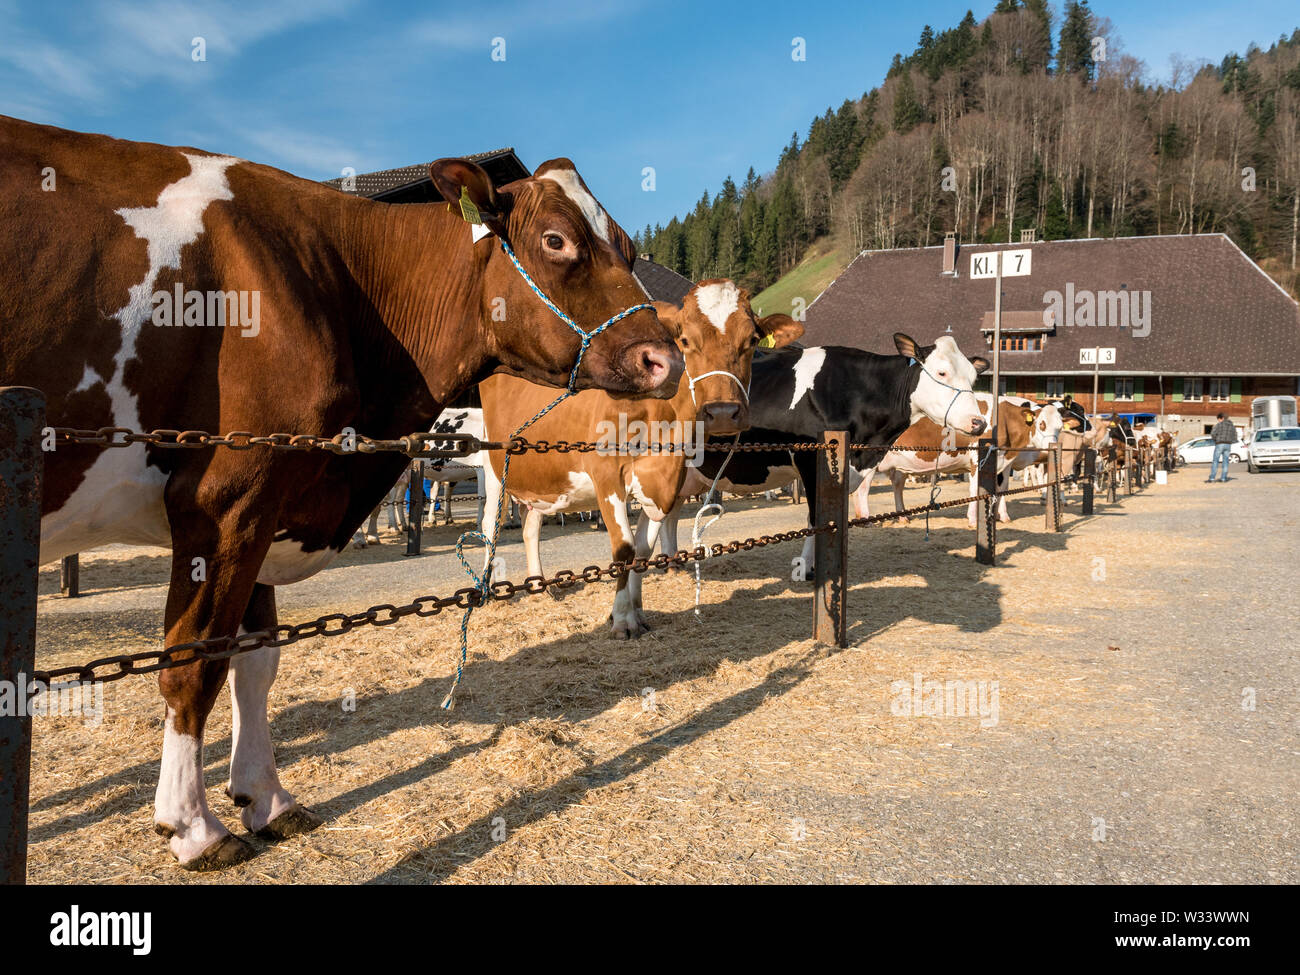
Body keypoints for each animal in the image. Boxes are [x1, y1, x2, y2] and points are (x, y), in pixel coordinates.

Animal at [0, 115, 684, 870]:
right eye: (558, 240)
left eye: (627, 245)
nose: (665, 358)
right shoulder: (227, 498)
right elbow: (194, 661)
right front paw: (192, 827)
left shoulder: (269, 504)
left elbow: (258, 661)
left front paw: (267, 799)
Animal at [479, 280, 803, 637]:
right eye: (685, 340)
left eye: (752, 340)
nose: (722, 412)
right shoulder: (606, 474)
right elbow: (625, 547)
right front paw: (622, 619)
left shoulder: (663, 482)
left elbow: (644, 551)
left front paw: (636, 610)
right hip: (493, 467)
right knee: (490, 525)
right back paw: (486, 593)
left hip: (541, 478)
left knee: (531, 525)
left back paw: (539, 586)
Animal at [657, 335, 990, 580]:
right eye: (942, 372)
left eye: (974, 377)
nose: (978, 423)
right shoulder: (811, 461)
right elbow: (817, 517)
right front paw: (812, 571)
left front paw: (809, 566)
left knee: (668, 515)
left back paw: (673, 563)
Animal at [870, 397, 1066, 524]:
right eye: (1041, 424)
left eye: (1060, 426)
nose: (1053, 447)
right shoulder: (977, 460)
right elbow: (974, 489)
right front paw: (973, 519)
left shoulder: (1004, 463)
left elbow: (1002, 489)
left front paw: (1002, 516)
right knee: (864, 490)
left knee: (897, 485)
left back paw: (902, 516)